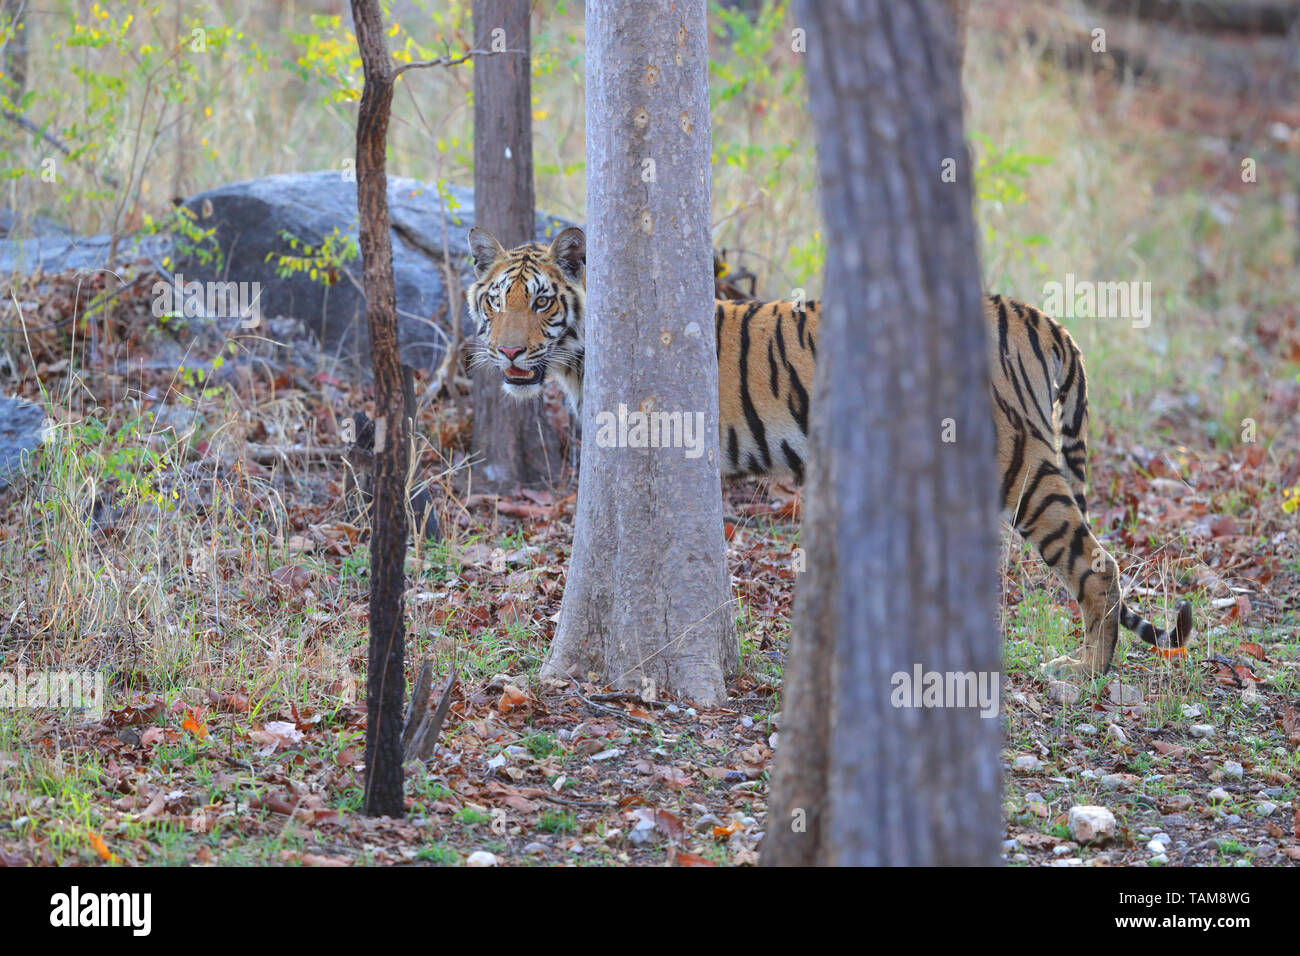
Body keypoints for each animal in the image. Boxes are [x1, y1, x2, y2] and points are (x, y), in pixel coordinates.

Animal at [465, 224, 1193, 678]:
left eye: (542, 302)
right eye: (496, 302)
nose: (509, 352)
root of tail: (1037, 314)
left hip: (1020, 466)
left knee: (1096, 562)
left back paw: (1085, 674)